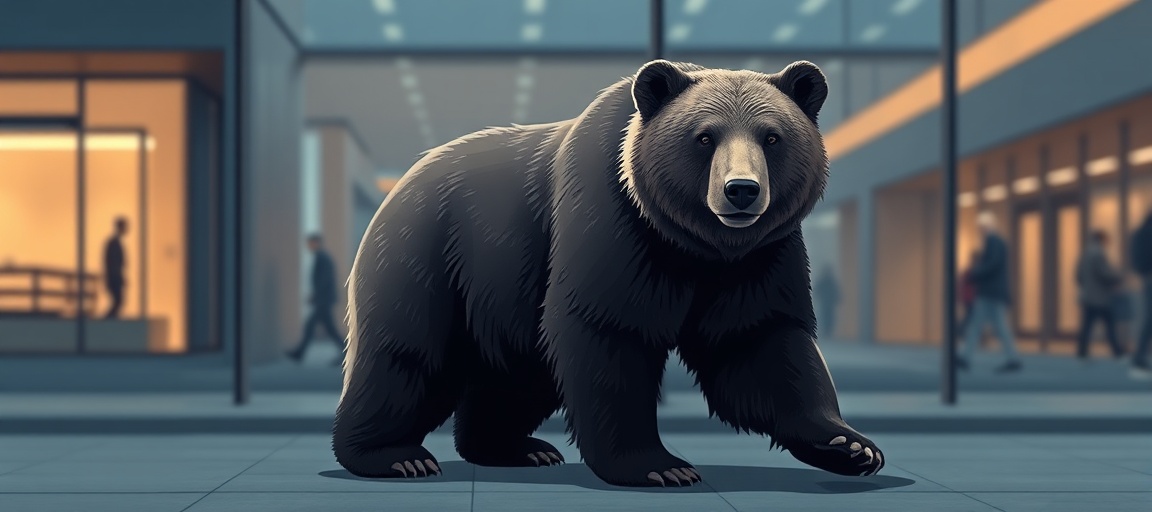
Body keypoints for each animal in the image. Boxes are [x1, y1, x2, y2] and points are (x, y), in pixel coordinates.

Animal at [333, 59, 884, 488]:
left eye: (772, 137)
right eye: (704, 137)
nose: (741, 190)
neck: (695, 245)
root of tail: (401, 184)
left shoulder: (759, 257)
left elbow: (759, 342)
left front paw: (851, 446)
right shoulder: (611, 223)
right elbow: (609, 332)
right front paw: (659, 466)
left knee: (519, 374)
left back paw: (514, 447)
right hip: (430, 255)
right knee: (408, 355)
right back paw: (393, 455)